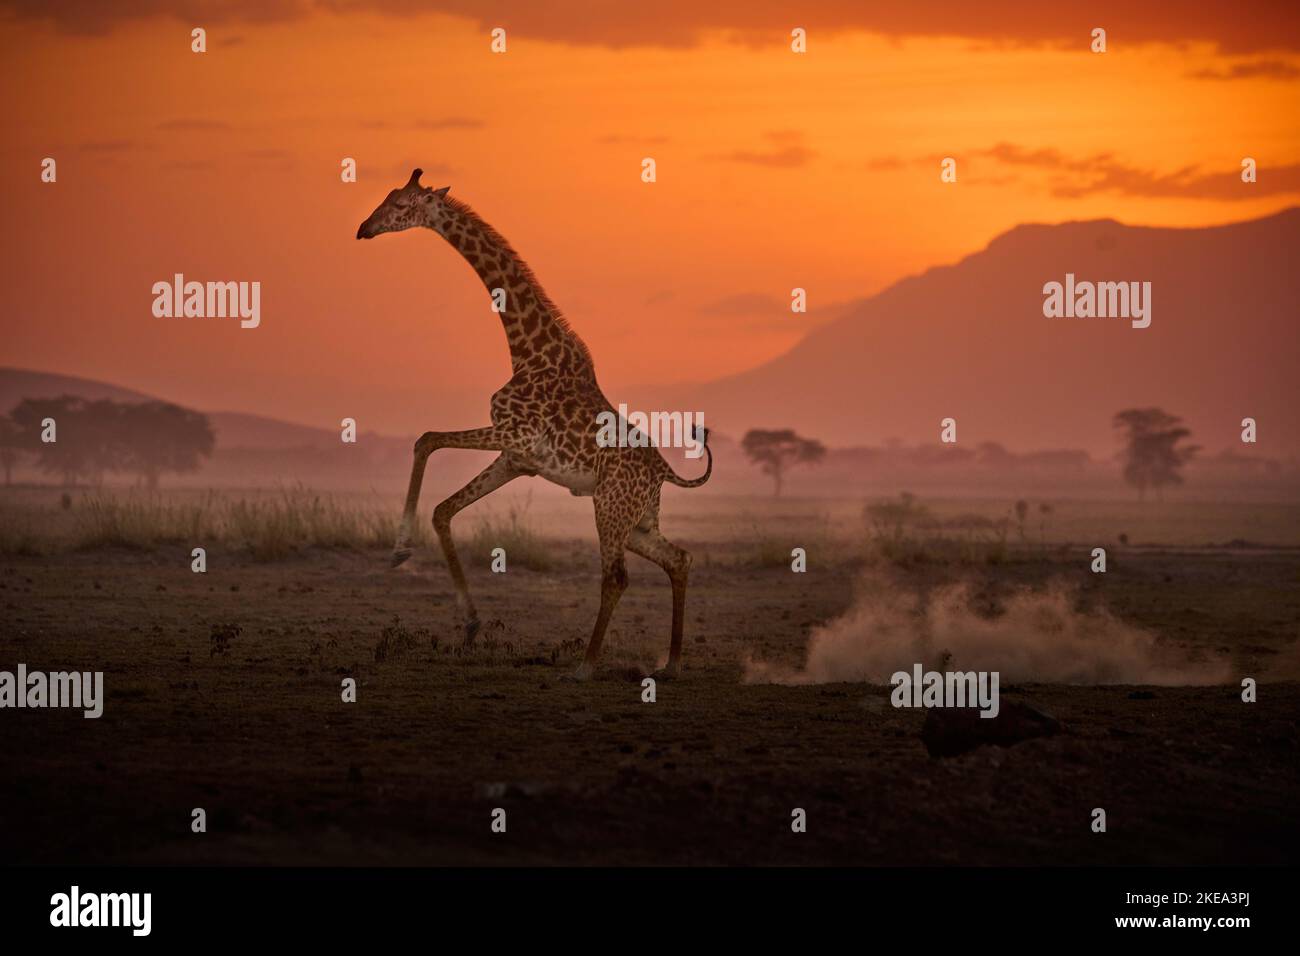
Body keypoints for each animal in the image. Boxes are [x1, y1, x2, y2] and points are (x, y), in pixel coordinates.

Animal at [356, 169, 712, 680]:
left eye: (402, 203)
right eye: (386, 196)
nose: (364, 228)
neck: (526, 349)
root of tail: (664, 471)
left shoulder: (513, 434)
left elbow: (426, 440)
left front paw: (401, 550)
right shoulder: (516, 459)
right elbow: (443, 508)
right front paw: (469, 623)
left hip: (610, 507)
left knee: (616, 577)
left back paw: (585, 666)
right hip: (639, 520)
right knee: (679, 559)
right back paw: (672, 663)